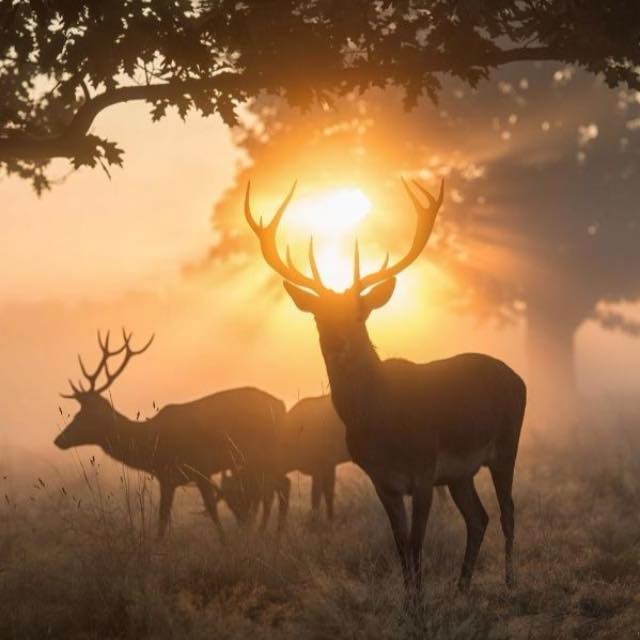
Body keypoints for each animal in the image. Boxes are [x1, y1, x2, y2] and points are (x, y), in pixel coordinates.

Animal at [54, 329, 290, 540]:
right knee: (274, 488)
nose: (59, 440)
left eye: (84, 416)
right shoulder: (169, 477)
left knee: (280, 486)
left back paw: (272, 536)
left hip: (262, 453)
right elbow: (165, 517)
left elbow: (206, 511)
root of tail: (281, 406)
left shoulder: (196, 467)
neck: (151, 445)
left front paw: (225, 543)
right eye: (78, 413)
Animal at [220, 394, 350, 524]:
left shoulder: (324, 466)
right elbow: (324, 494)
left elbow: (320, 496)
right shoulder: (323, 468)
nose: (243, 521)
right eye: (228, 502)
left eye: (239, 496)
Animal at [245, 179, 527, 593]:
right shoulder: (381, 479)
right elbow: (399, 546)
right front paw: (411, 600)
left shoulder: (424, 470)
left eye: (358, 313)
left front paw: (420, 602)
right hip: (460, 473)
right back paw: (461, 588)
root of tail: (518, 377)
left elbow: (417, 543)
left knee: (507, 511)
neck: (383, 421)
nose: (336, 342)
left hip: (506, 445)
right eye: (318, 316)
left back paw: (509, 582)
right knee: (479, 518)